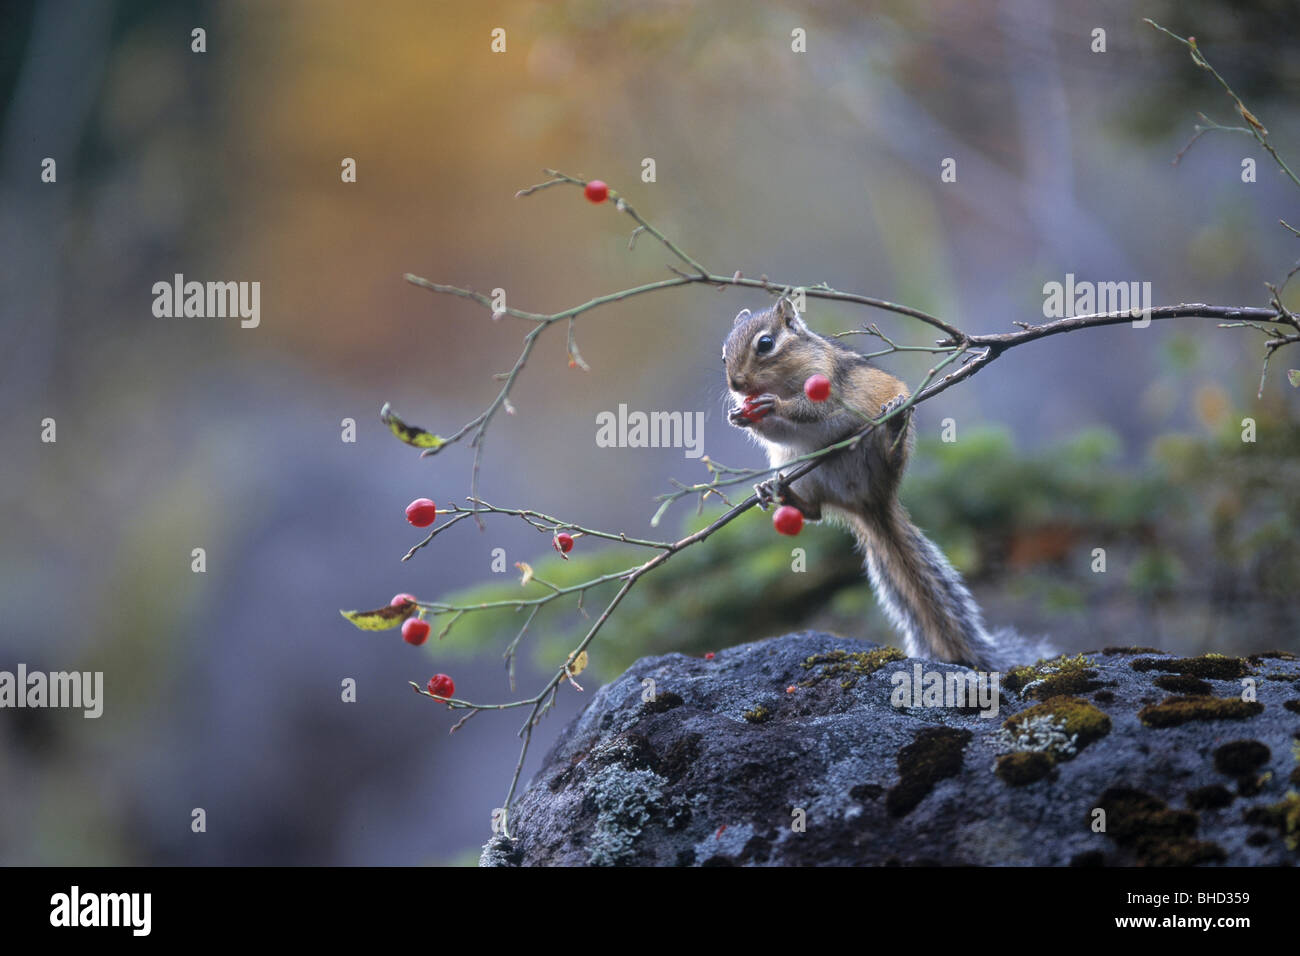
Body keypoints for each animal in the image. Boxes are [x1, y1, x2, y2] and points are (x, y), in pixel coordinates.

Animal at [724, 297, 1016, 671]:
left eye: (765, 344)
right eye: (723, 355)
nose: (736, 385)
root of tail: (869, 502)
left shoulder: (825, 379)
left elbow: (810, 410)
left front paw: (773, 405)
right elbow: (777, 431)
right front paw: (741, 416)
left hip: (882, 452)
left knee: (888, 454)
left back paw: (894, 427)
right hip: (803, 473)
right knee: (813, 511)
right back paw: (779, 492)